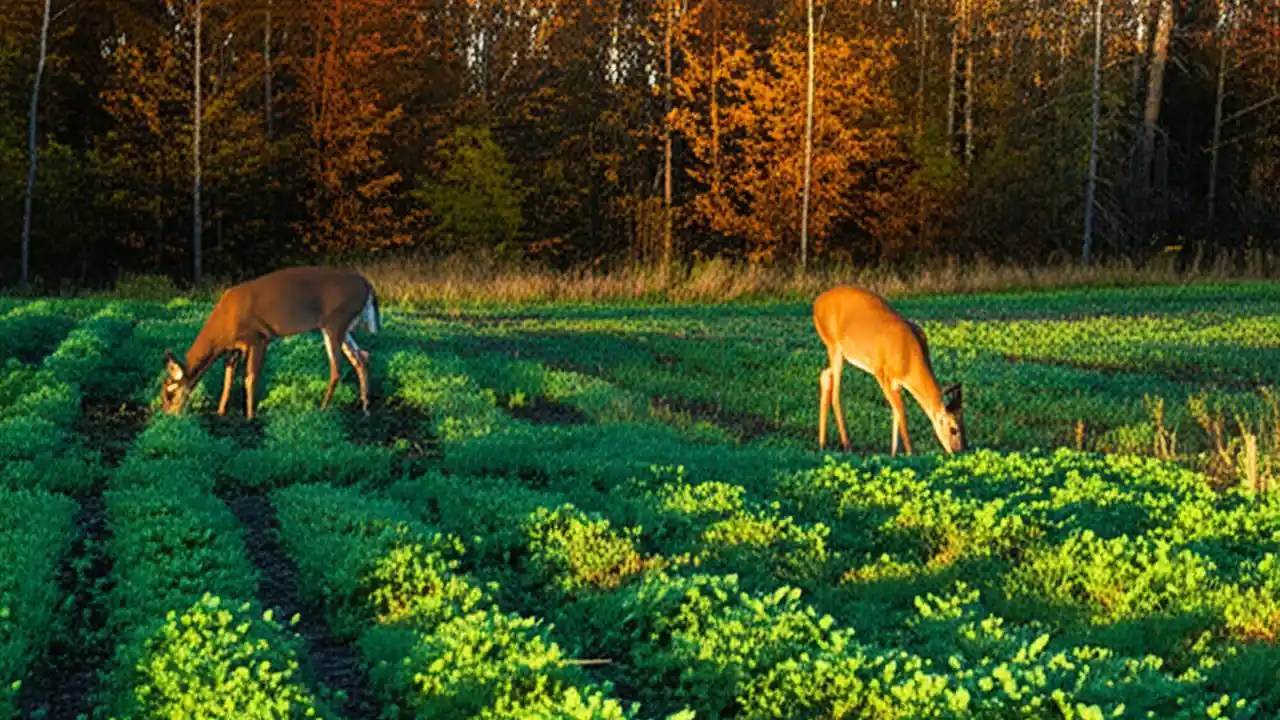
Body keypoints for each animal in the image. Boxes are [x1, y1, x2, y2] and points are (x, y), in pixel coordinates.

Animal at [161, 266, 380, 420]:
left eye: (169, 393)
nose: (168, 415)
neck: (222, 329)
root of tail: (368, 285)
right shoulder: (234, 348)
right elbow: (228, 377)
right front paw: (221, 411)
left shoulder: (259, 338)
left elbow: (250, 376)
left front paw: (250, 416)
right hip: (344, 327)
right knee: (363, 357)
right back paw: (365, 408)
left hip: (334, 322)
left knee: (337, 368)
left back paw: (323, 408)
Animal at [813, 285, 964, 455]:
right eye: (954, 429)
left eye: (964, 426)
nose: (960, 450)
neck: (910, 356)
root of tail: (817, 302)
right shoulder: (881, 372)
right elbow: (900, 409)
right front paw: (910, 452)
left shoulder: (896, 381)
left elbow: (895, 410)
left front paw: (893, 453)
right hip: (834, 346)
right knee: (835, 393)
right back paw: (846, 444)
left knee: (825, 375)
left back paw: (822, 443)